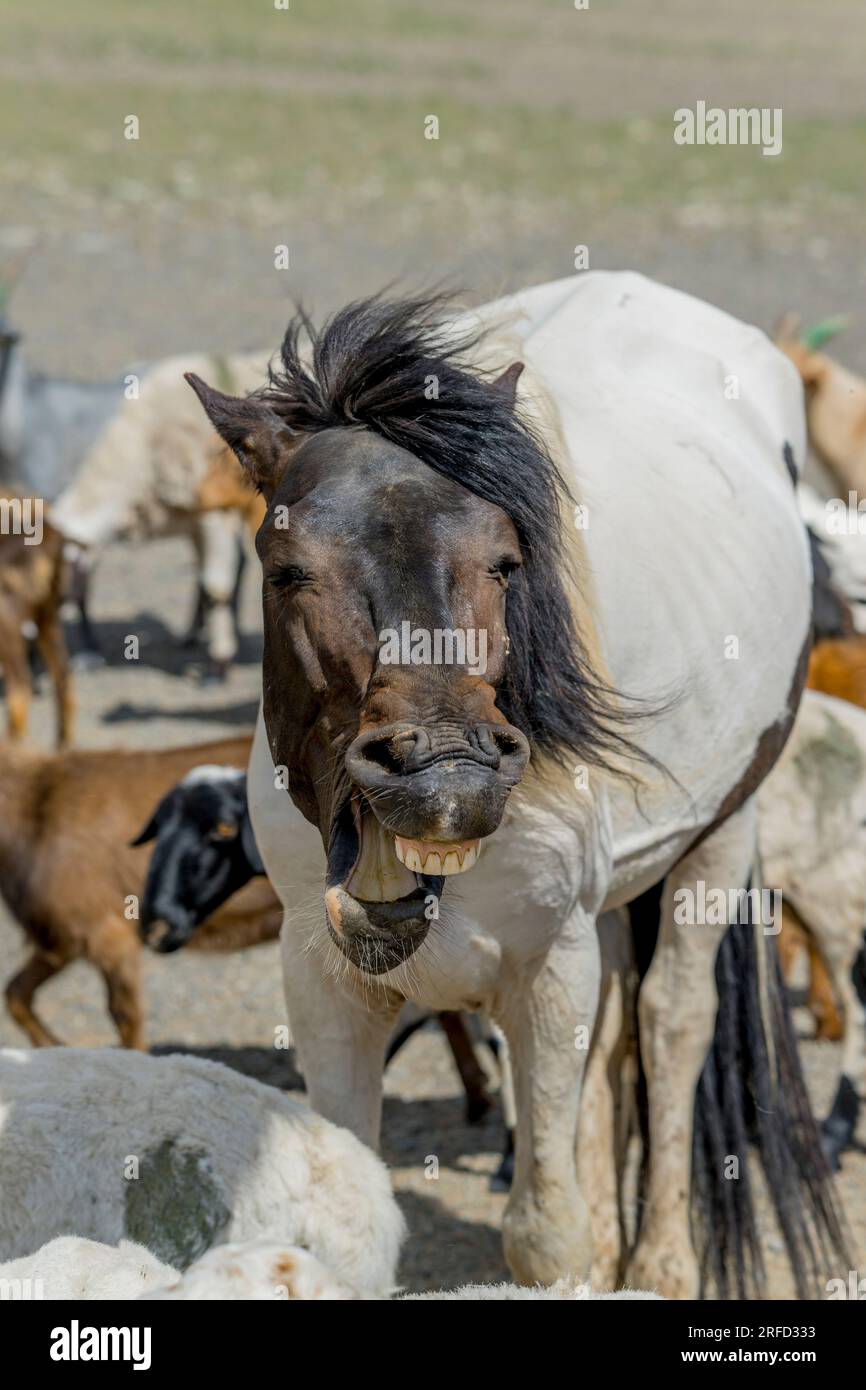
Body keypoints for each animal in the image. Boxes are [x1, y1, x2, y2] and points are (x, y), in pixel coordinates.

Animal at [186, 272, 846, 1297]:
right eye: (289, 570)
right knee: (619, 1036)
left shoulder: (548, 972)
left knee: (671, 1022)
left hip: (722, 835)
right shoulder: (323, 982)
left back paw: (659, 1263)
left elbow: (544, 1233)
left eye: (505, 562)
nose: (443, 772)